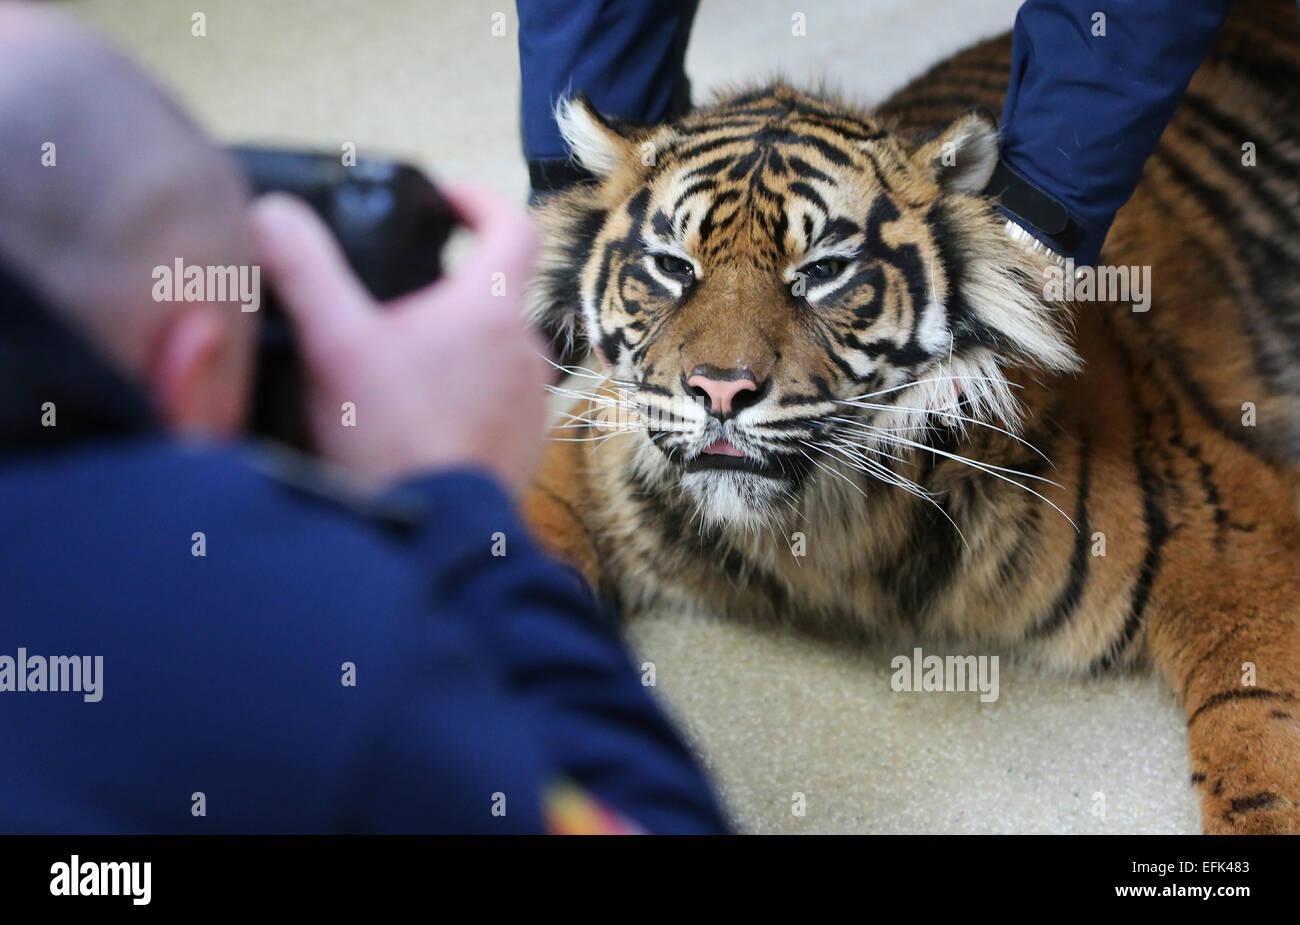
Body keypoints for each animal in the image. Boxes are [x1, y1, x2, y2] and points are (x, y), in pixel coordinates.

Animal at [522, 0, 1300, 834]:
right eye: (672, 266)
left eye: (823, 272)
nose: (720, 389)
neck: (824, 528)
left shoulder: (1233, 537)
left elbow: (1257, 747)